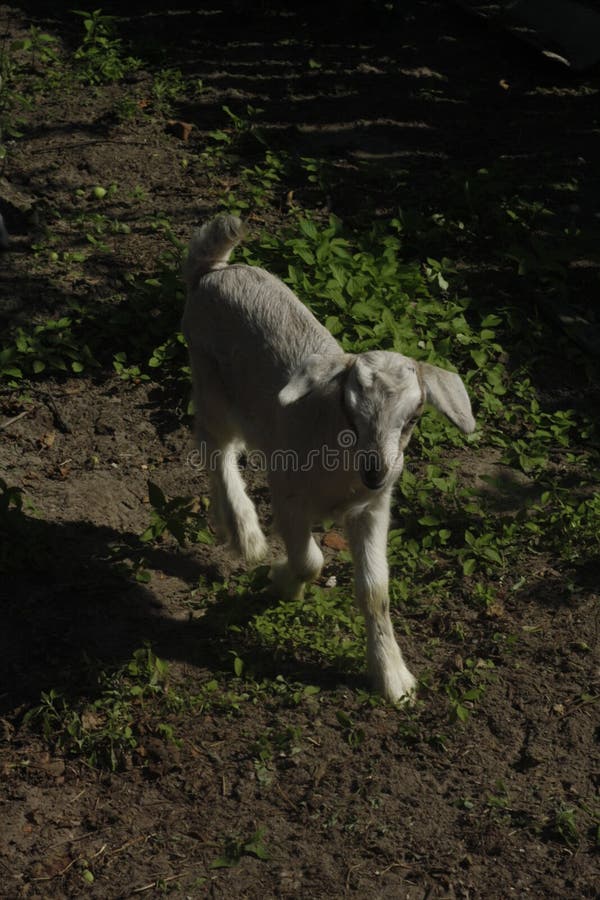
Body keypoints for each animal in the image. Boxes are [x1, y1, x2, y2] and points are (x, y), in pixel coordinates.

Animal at [182, 215, 475, 702]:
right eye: (349, 409)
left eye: (414, 417)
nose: (376, 471)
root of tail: (213, 270)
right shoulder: (288, 495)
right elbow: (310, 562)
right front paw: (281, 582)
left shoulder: (373, 509)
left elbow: (376, 591)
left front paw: (394, 681)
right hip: (208, 376)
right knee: (214, 446)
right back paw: (245, 533)